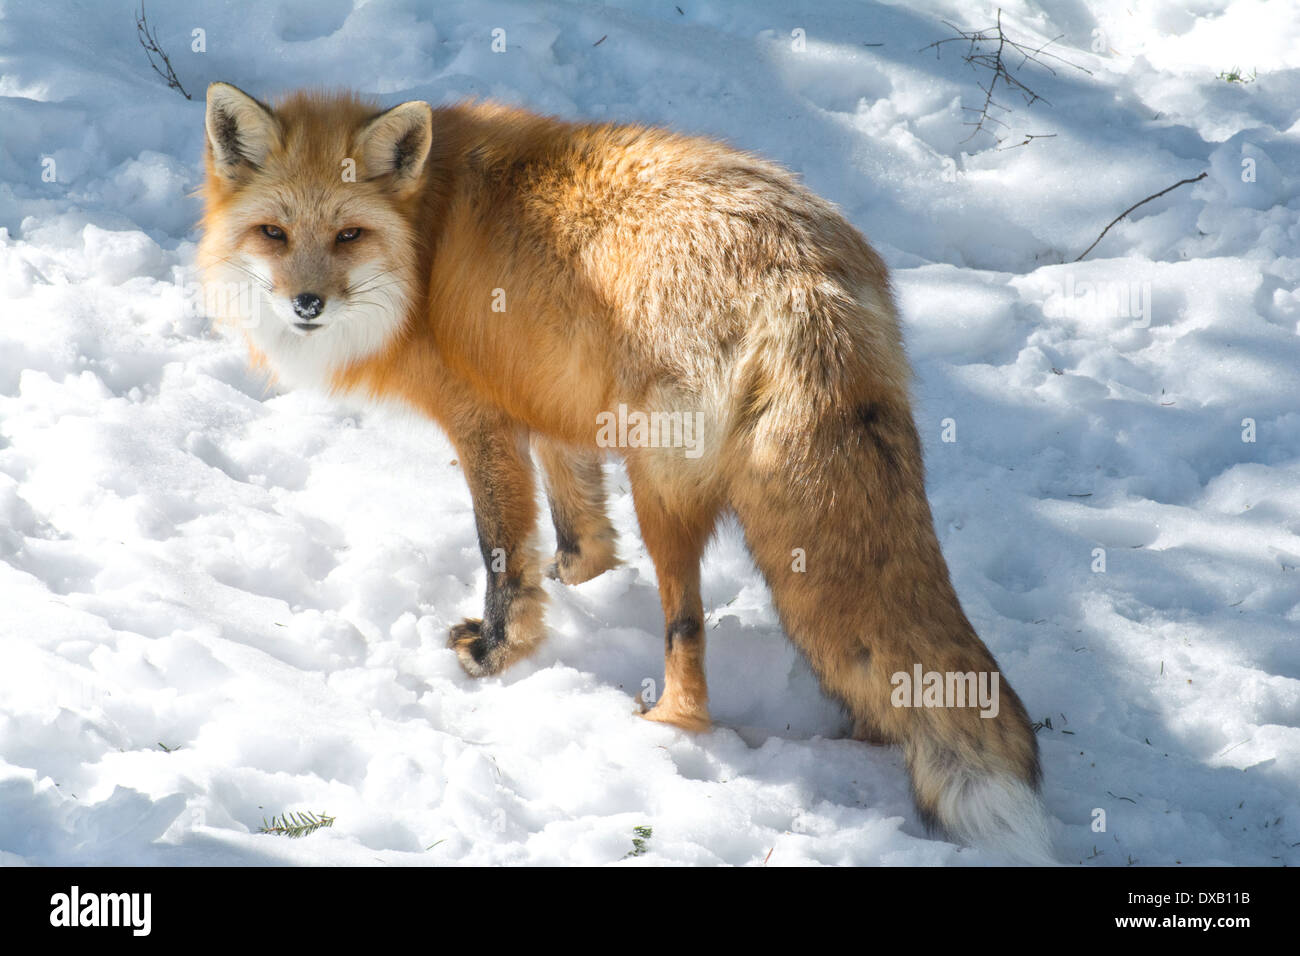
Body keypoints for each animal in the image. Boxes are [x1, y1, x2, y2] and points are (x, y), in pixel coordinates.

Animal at [197, 82, 1056, 863]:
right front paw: (575, 582)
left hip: (661, 482)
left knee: (689, 635)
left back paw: (664, 730)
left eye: (349, 234)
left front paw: (496, 653)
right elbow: (581, 536)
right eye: (274, 233)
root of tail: (804, 271)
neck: (424, 247)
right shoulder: (550, 405)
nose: (307, 303)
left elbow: (502, 551)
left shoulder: (481, 421)